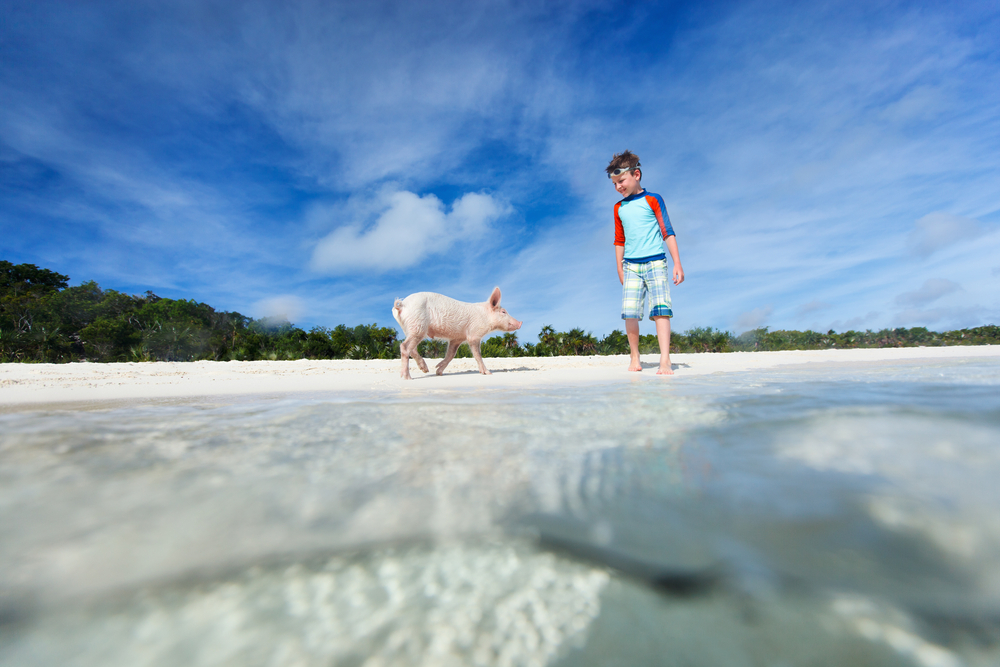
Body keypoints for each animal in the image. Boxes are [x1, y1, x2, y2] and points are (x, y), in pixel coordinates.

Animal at [392, 287, 522, 380]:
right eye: (503, 312)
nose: (520, 322)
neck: (485, 317)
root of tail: (402, 304)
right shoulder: (474, 334)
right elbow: (477, 355)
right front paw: (488, 373)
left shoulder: (456, 339)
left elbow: (451, 354)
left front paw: (438, 371)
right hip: (417, 325)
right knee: (404, 346)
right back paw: (407, 378)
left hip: (410, 328)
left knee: (412, 349)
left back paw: (425, 370)